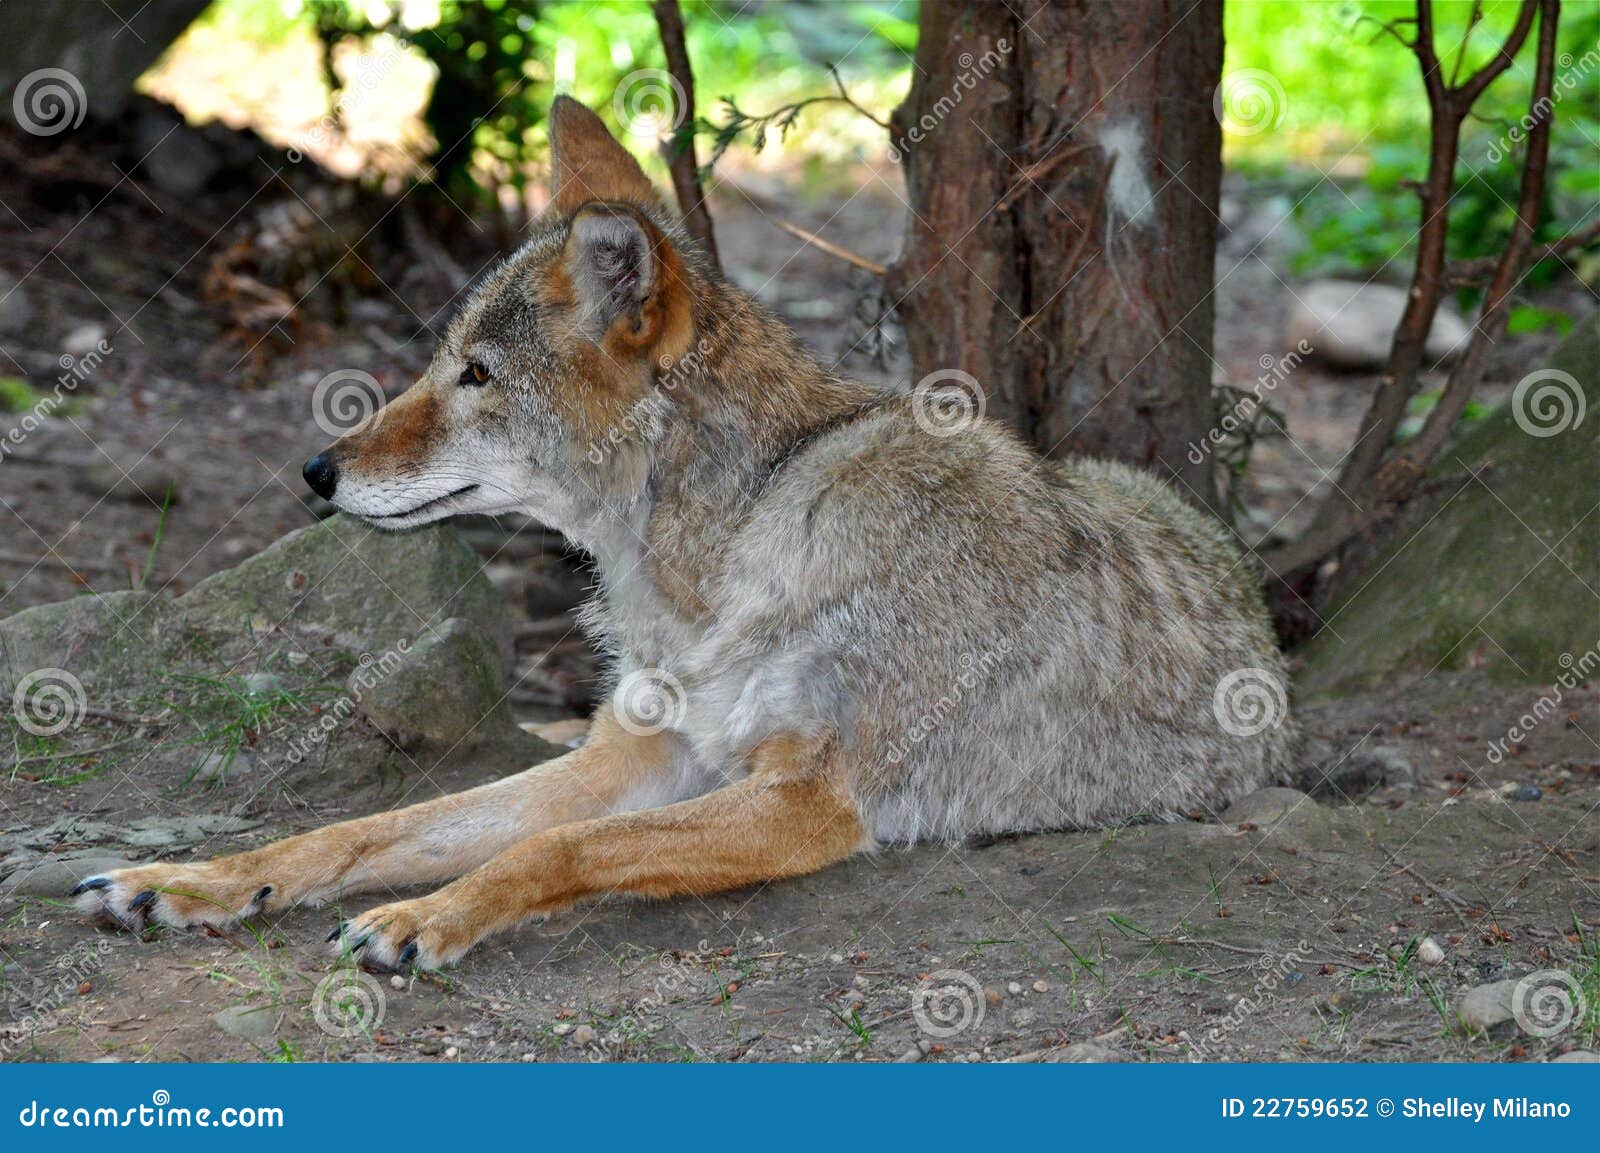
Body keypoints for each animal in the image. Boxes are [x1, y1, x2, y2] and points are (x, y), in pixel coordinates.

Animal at [75, 98, 1294, 968]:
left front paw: (425, 917)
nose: (316, 471)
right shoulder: (640, 754)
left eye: (477, 376)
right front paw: (198, 880)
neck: (727, 551)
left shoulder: (807, 798)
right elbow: (367, 828)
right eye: (439, 361)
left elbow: (560, 844)